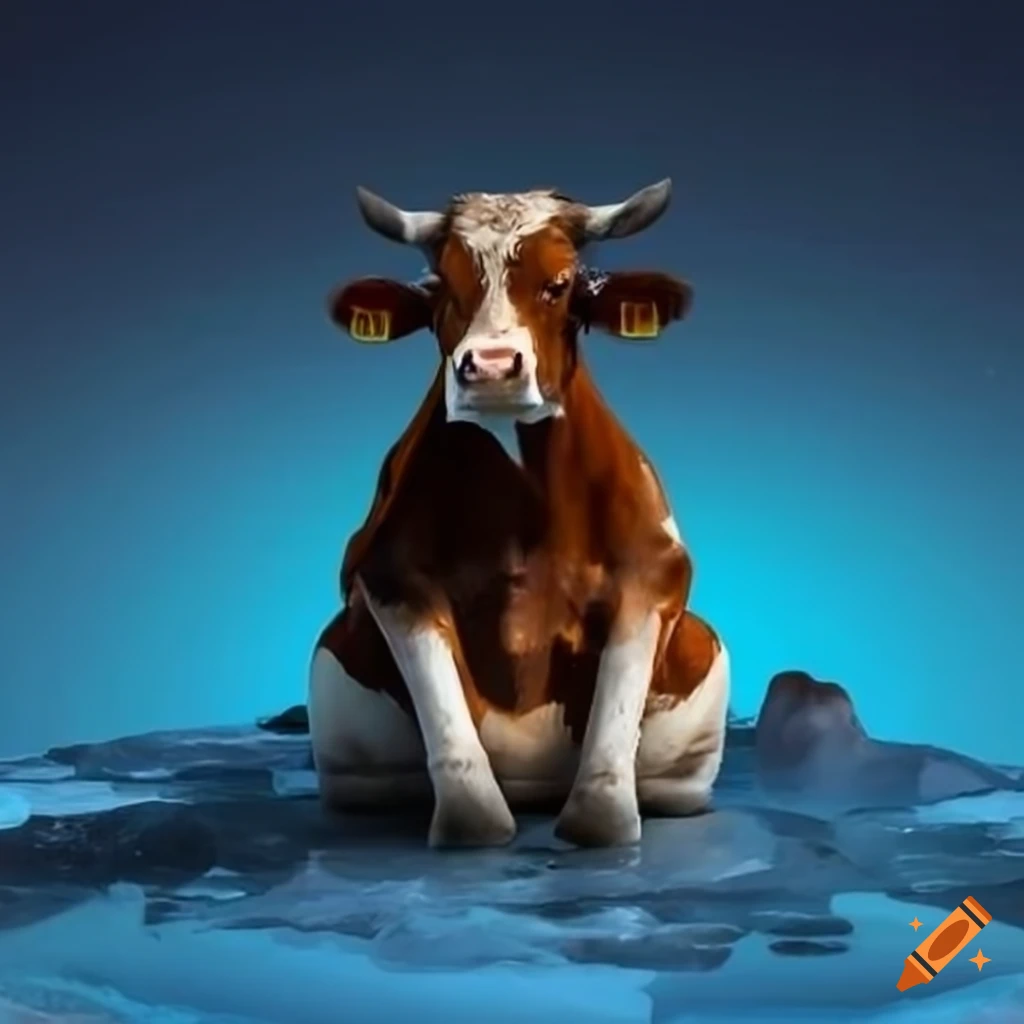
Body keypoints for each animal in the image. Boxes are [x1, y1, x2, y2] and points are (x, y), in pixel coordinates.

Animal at [309, 178, 730, 849]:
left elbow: (604, 786)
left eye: (559, 283)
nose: (491, 367)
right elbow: (464, 783)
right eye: (444, 286)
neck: (521, 521)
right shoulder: (392, 578)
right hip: (354, 760)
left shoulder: (656, 571)